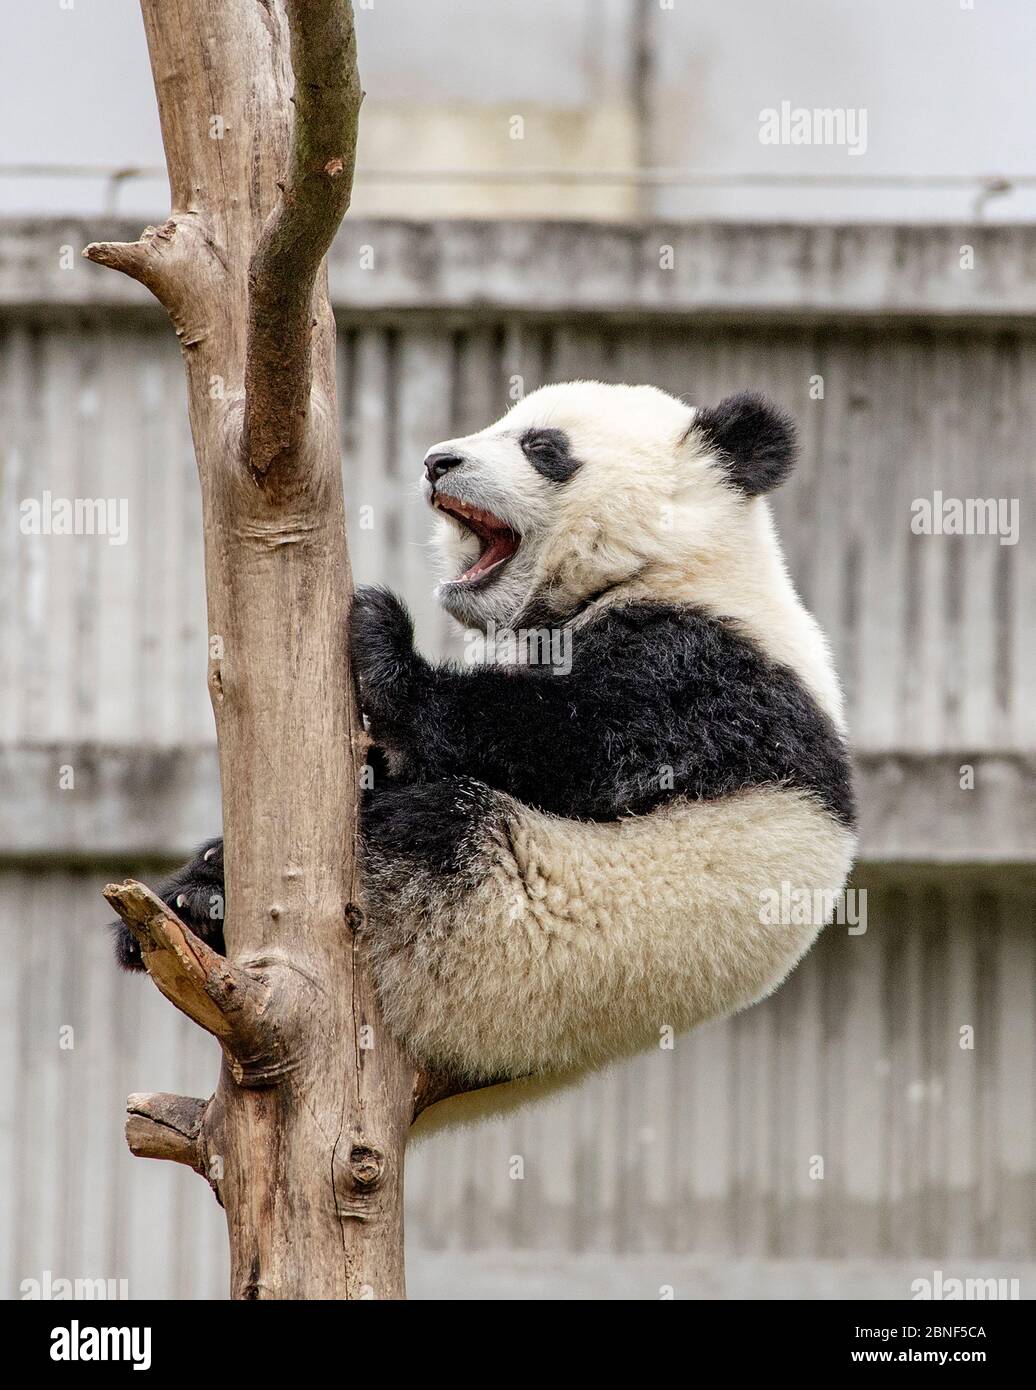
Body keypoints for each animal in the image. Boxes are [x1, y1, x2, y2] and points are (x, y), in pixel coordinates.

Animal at [114, 381, 856, 1098]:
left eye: (543, 447)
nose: (437, 462)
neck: (678, 561)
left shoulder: (705, 668)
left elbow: (575, 745)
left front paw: (383, 636)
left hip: (511, 946)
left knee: (434, 829)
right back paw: (189, 900)